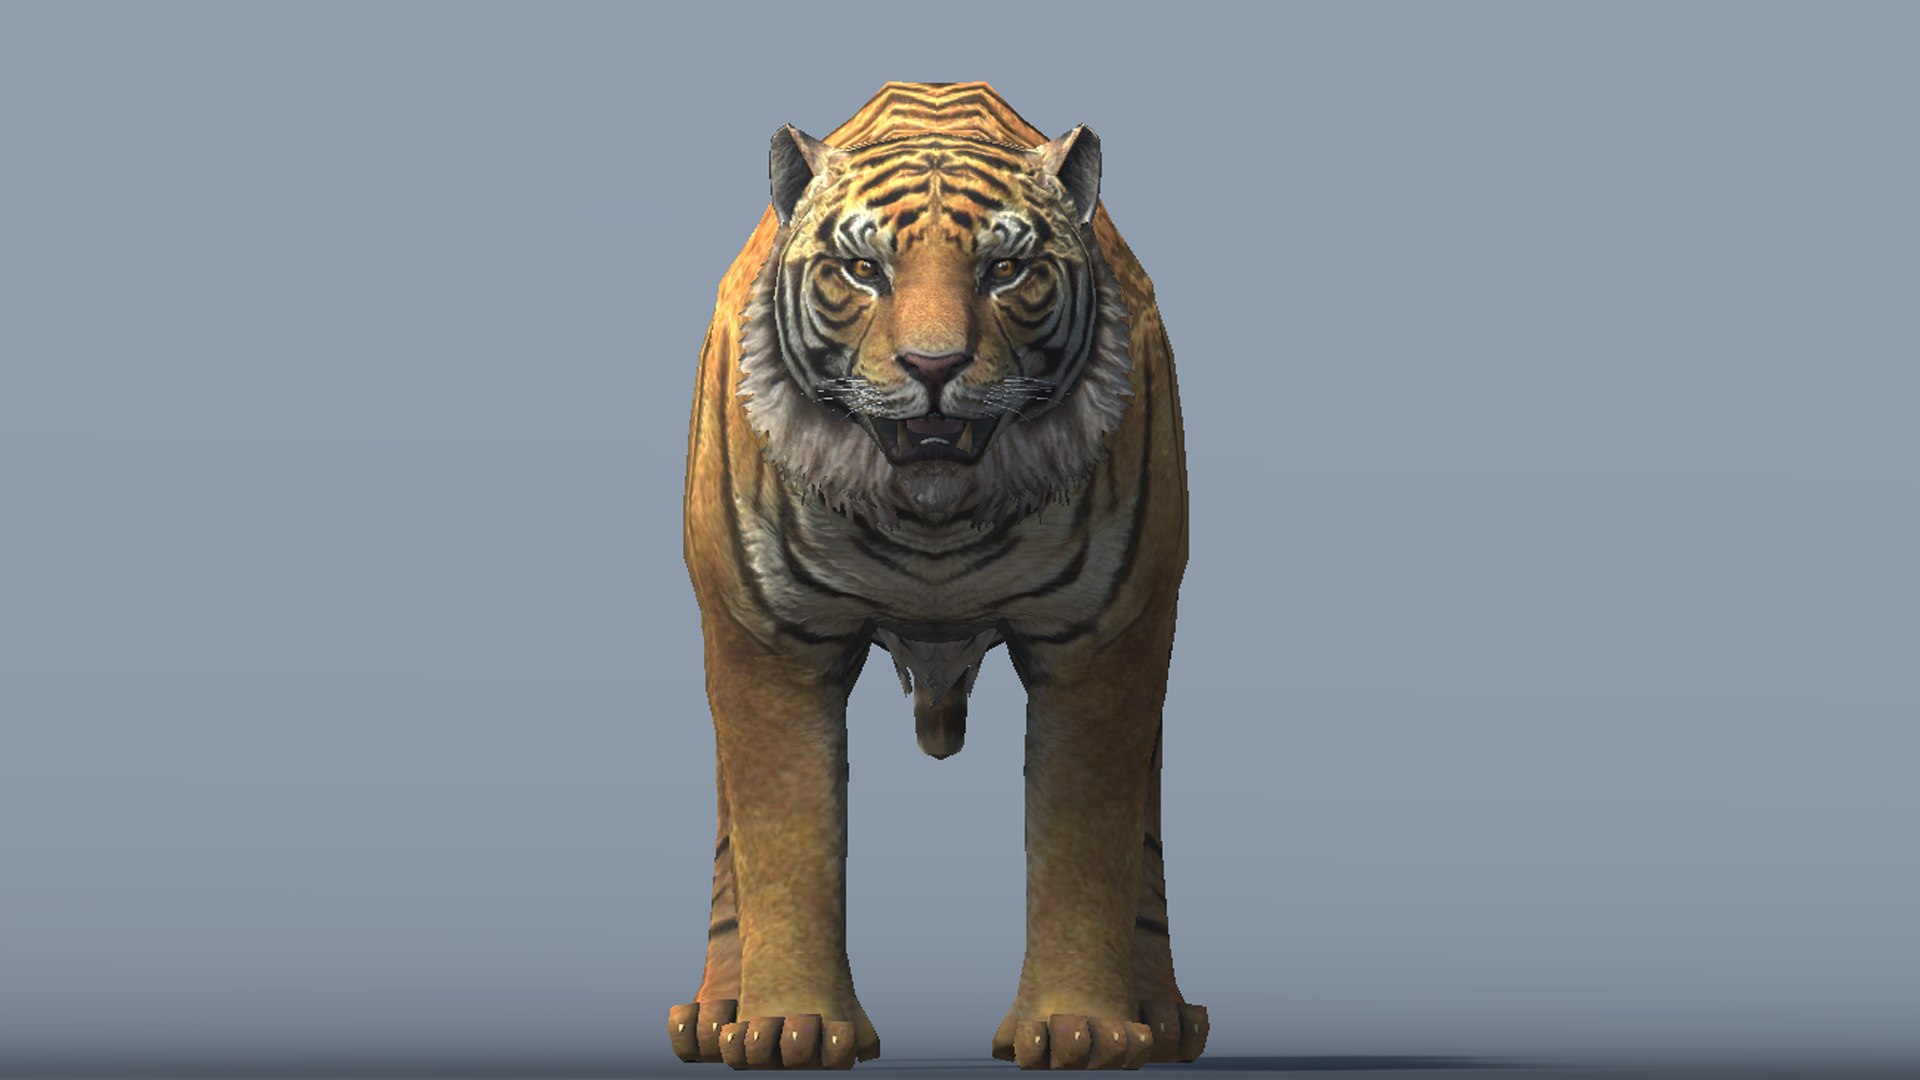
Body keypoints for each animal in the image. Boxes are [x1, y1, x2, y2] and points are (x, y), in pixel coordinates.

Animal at [669, 82, 1204, 1070]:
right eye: (862, 271)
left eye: (1006, 271)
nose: (933, 367)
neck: (933, 519)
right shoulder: (771, 638)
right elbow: (784, 837)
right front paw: (786, 1030)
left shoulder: (1103, 638)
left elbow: (1085, 844)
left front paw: (1078, 1029)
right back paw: (715, 1013)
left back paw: (1165, 1021)